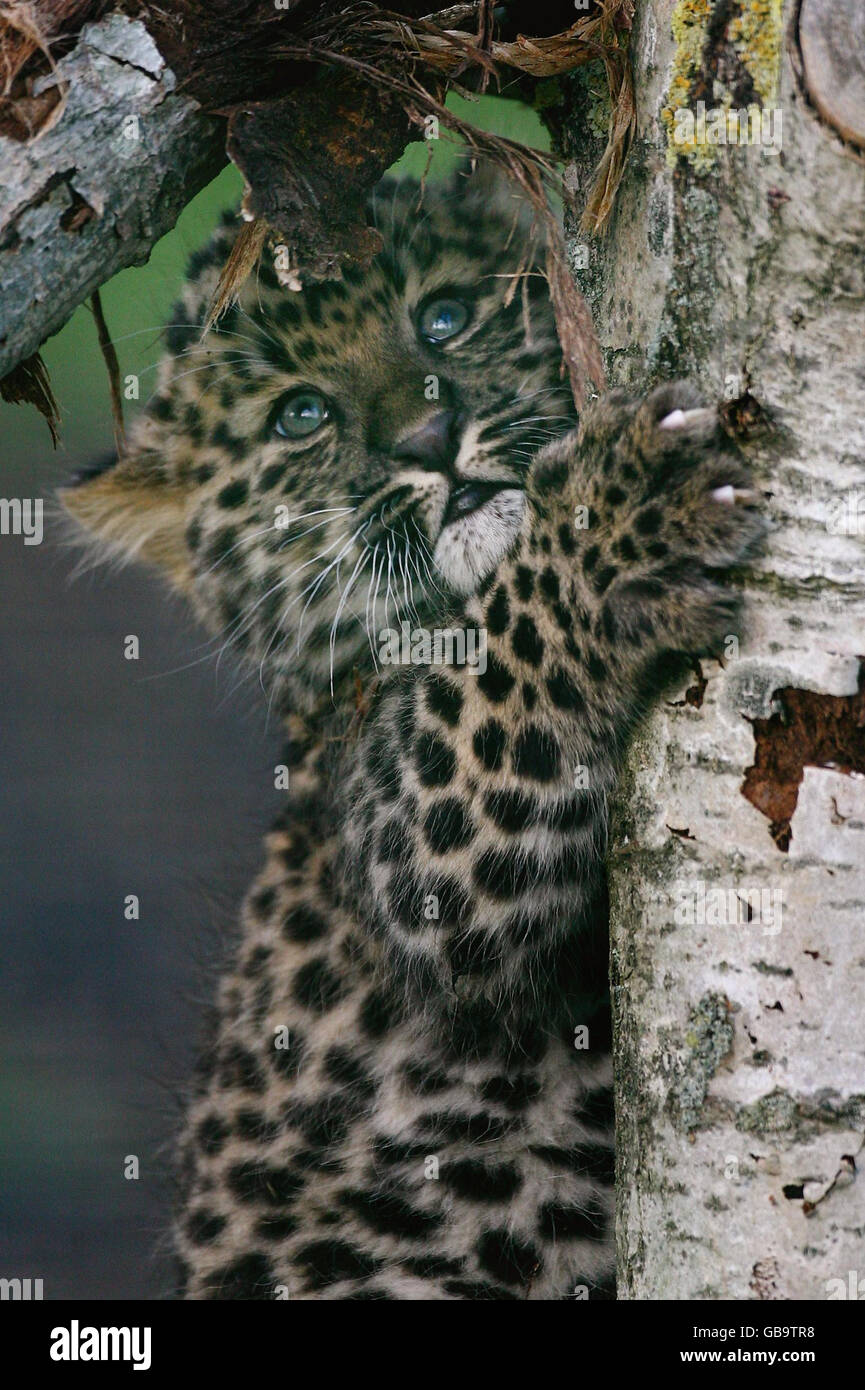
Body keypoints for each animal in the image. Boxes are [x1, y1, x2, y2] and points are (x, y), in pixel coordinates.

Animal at [62, 162, 763, 1300]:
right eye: (300, 415)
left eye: (444, 317)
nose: (428, 441)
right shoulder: (415, 842)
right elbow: (504, 659)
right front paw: (616, 515)